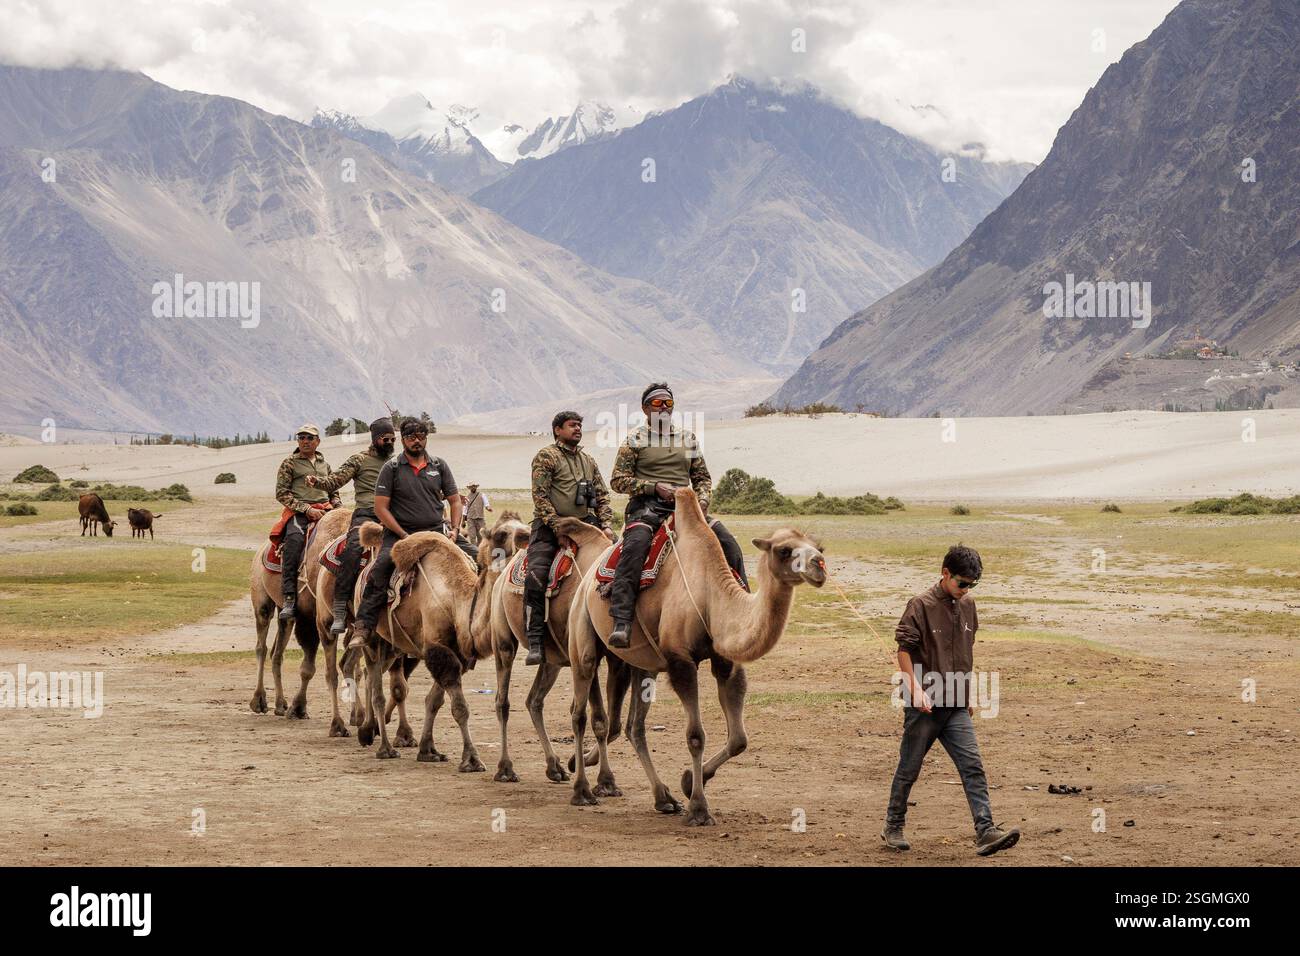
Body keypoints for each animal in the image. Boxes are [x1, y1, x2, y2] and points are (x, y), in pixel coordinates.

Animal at [353, 511, 528, 768]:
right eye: (501, 533)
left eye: (526, 525)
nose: (526, 537)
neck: (457, 602)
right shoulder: (437, 647)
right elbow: (460, 707)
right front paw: (472, 758)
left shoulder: (456, 653)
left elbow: (434, 701)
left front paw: (428, 750)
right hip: (373, 638)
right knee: (376, 689)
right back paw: (383, 746)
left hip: (394, 646)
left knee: (374, 676)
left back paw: (368, 731)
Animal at [489, 517, 631, 789]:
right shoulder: (585, 654)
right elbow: (600, 719)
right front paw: (605, 780)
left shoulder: (617, 660)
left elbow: (614, 724)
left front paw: (578, 762)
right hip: (502, 636)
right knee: (502, 700)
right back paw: (505, 768)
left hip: (552, 659)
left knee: (534, 700)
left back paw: (554, 767)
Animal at [567, 487, 826, 826]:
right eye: (784, 550)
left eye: (818, 547)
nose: (820, 565)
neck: (711, 596)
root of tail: (587, 577)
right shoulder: (681, 661)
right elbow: (695, 735)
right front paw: (699, 809)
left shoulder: (724, 661)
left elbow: (739, 739)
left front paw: (689, 782)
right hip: (582, 635)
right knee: (580, 710)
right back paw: (582, 790)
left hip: (642, 664)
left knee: (634, 727)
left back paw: (663, 798)